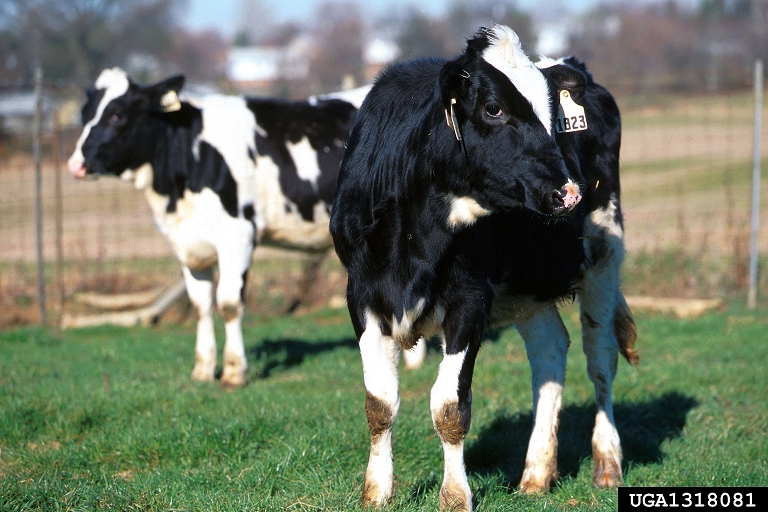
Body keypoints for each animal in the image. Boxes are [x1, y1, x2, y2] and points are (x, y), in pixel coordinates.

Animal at [68, 68, 363, 389]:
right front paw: (203, 370)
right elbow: (201, 305)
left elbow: (229, 304)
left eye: (116, 115)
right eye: (84, 113)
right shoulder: (188, 243)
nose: (76, 165)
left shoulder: (238, 234)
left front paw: (234, 372)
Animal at [330, 25, 637, 511]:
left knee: (601, 358)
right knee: (550, 354)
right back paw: (536, 474)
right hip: (527, 286)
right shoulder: (361, 296)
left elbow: (449, 406)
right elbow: (379, 402)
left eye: (553, 112)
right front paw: (376, 492)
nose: (569, 191)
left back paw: (607, 464)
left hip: (604, 254)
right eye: (493, 109)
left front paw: (455, 496)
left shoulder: (470, 300)